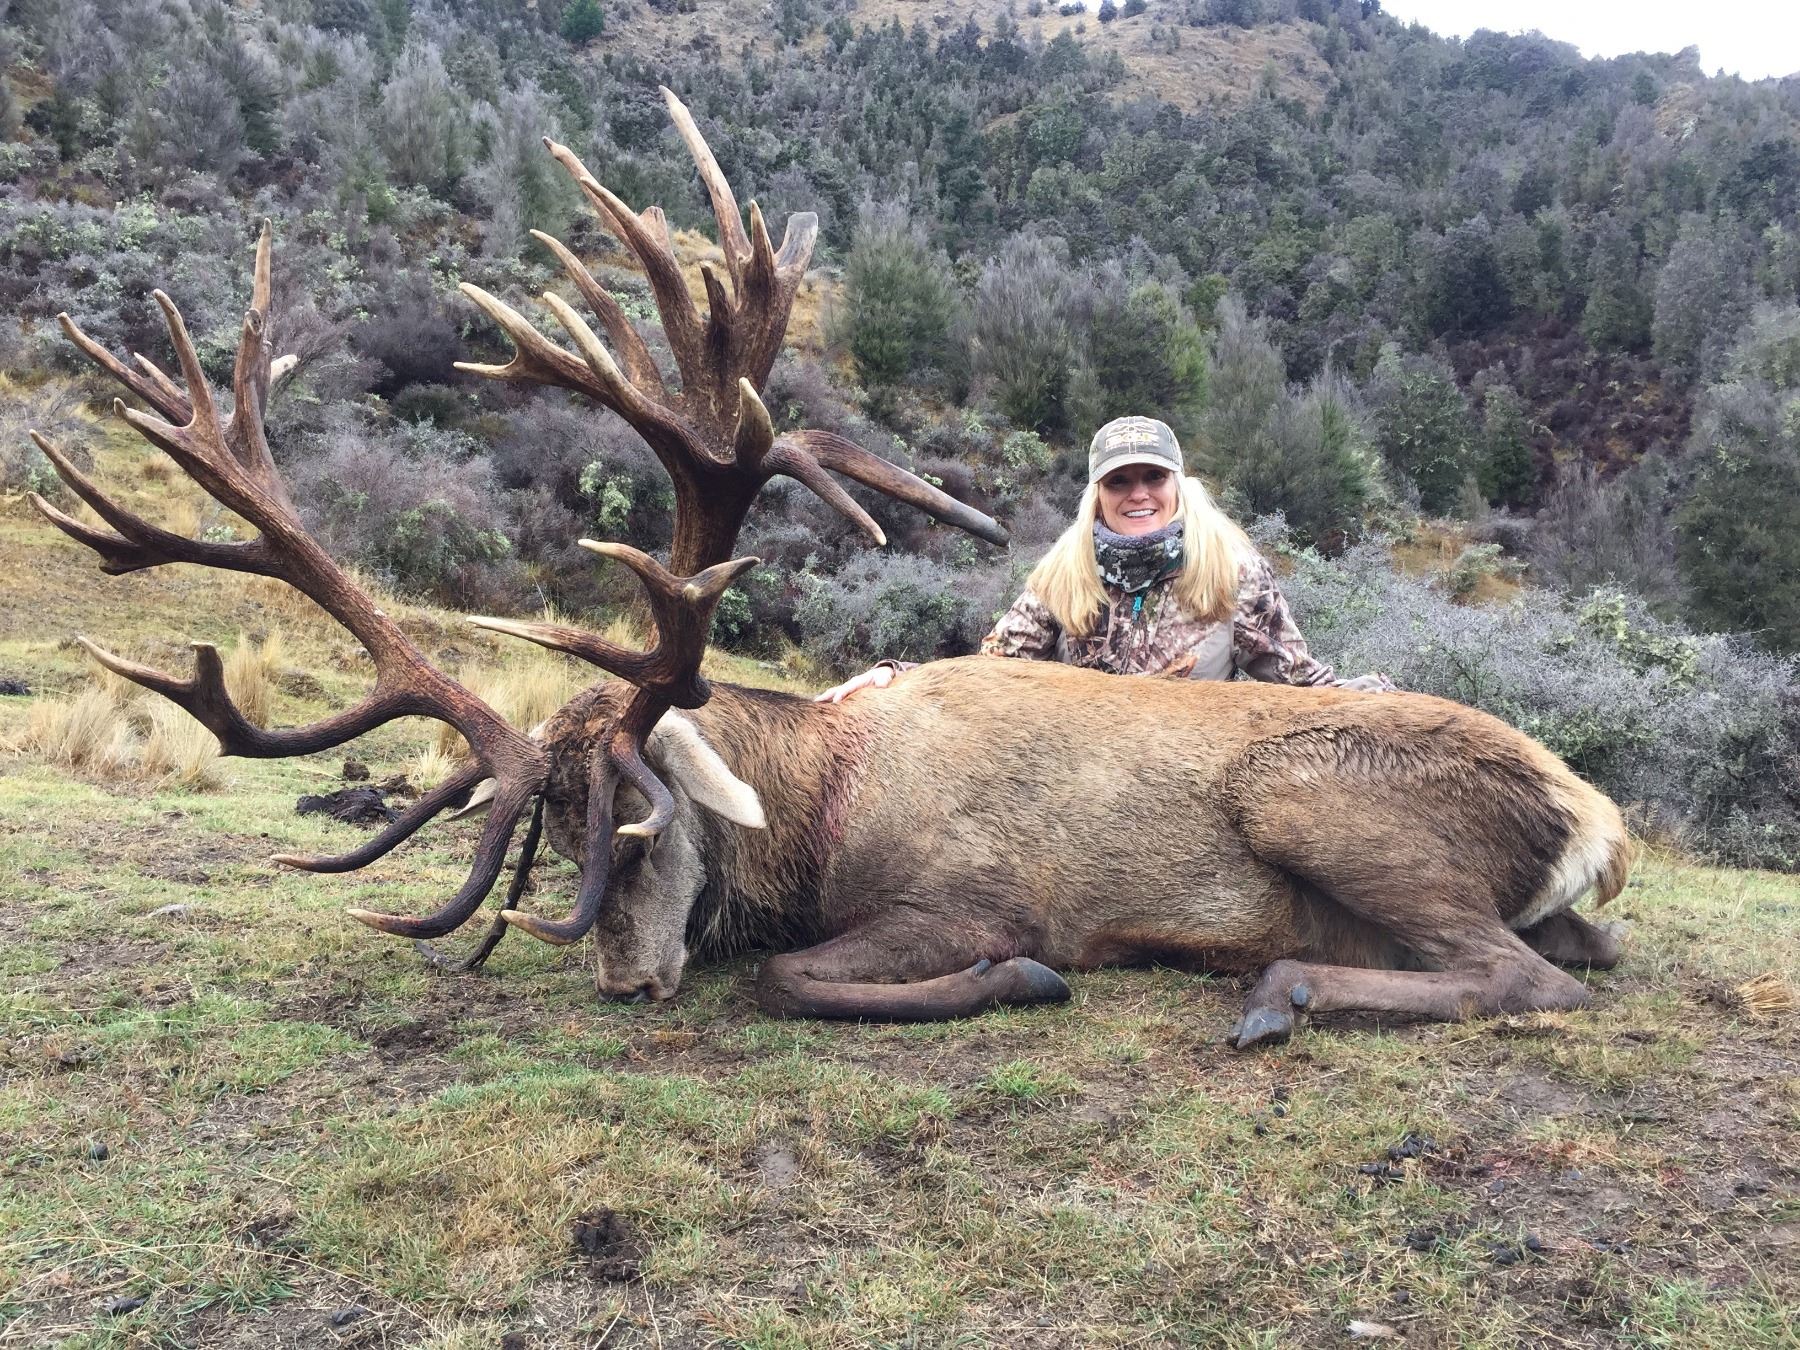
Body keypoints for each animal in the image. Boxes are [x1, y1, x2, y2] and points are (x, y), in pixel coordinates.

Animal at [27, 91, 1632, 1050]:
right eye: (542, 829)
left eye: (639, 818)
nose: (628, 978)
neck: (822, 812)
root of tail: (1591, 814)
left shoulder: (981, 892)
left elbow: (808, 971)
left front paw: (1020, 981)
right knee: (1570, 951)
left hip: (1312, 798)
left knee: (1526, 974)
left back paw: (1278, 986)